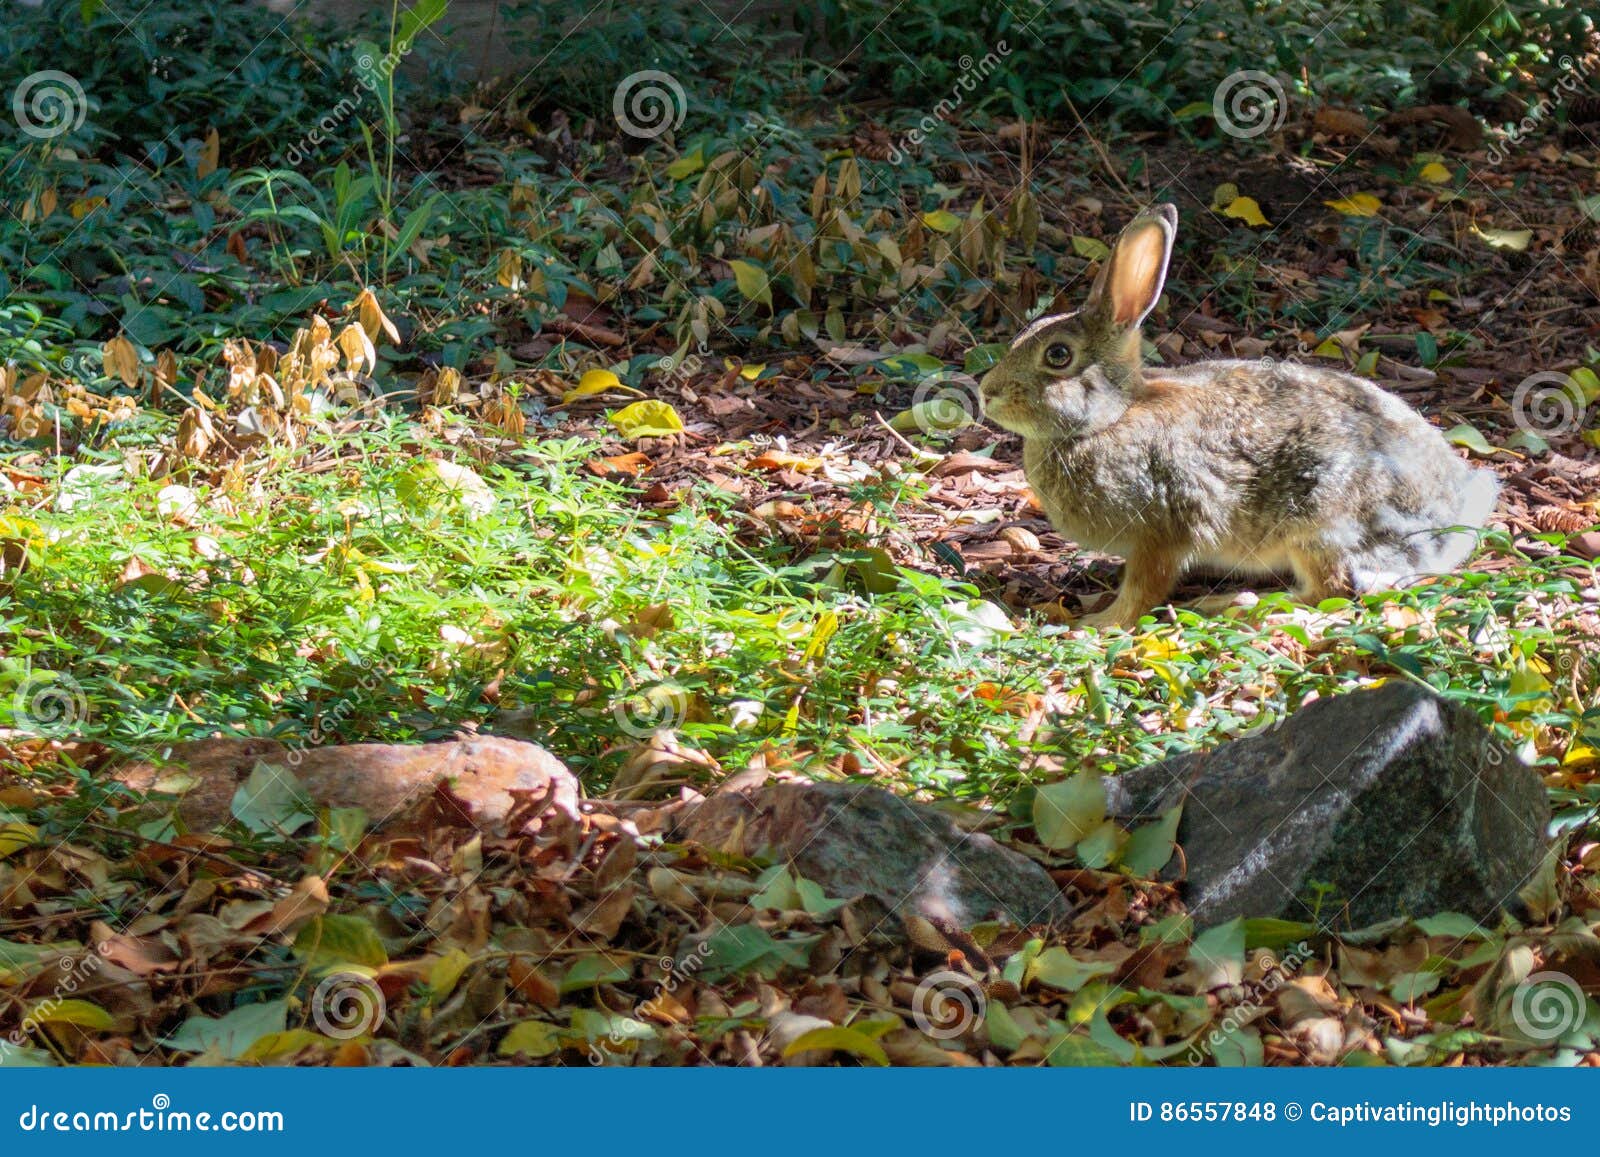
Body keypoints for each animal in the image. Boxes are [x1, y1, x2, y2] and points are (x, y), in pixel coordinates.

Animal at [979, 202, 1499, 630]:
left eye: (1058, 355)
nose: (987, 393)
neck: (1110, 418)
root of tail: (1450, 520)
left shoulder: (1163, 529)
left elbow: (1145, 587)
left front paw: (1101, 622)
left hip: (1319, 524)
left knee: (1328, 591)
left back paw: (1234, 604)